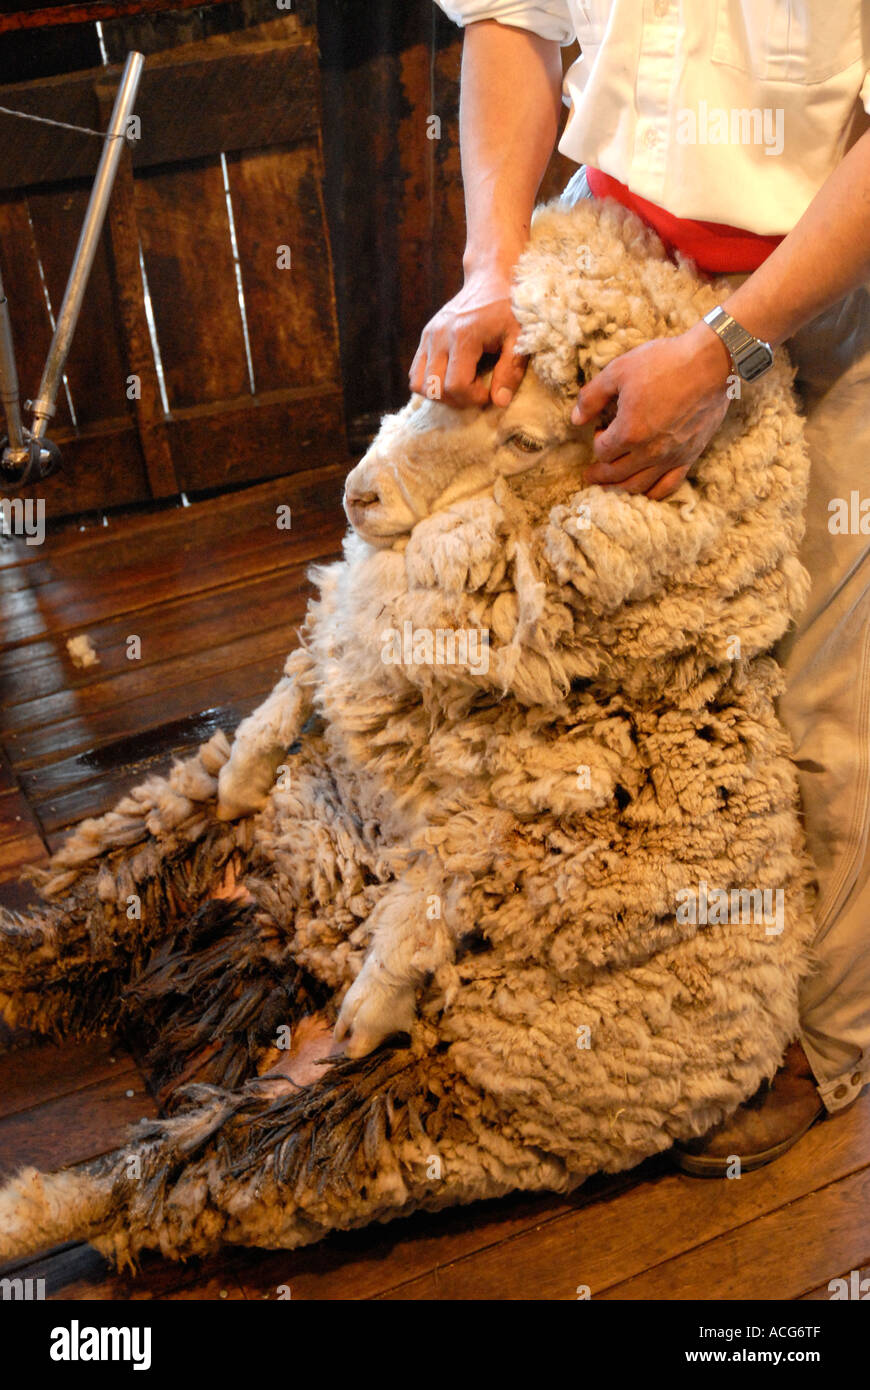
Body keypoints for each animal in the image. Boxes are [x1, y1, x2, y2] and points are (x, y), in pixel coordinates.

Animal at [0, 193, 816, 1268]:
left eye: (526, 441)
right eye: (441, 375)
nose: (358, 493)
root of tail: (278, 947)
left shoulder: (557, 790)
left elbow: (462, 860)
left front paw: (382, 986)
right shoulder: (360, 640)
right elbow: (309, 661)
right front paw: (252, 760)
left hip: (368, 1122)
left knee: (144, 1183)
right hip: (174, 851)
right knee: (56, 954)